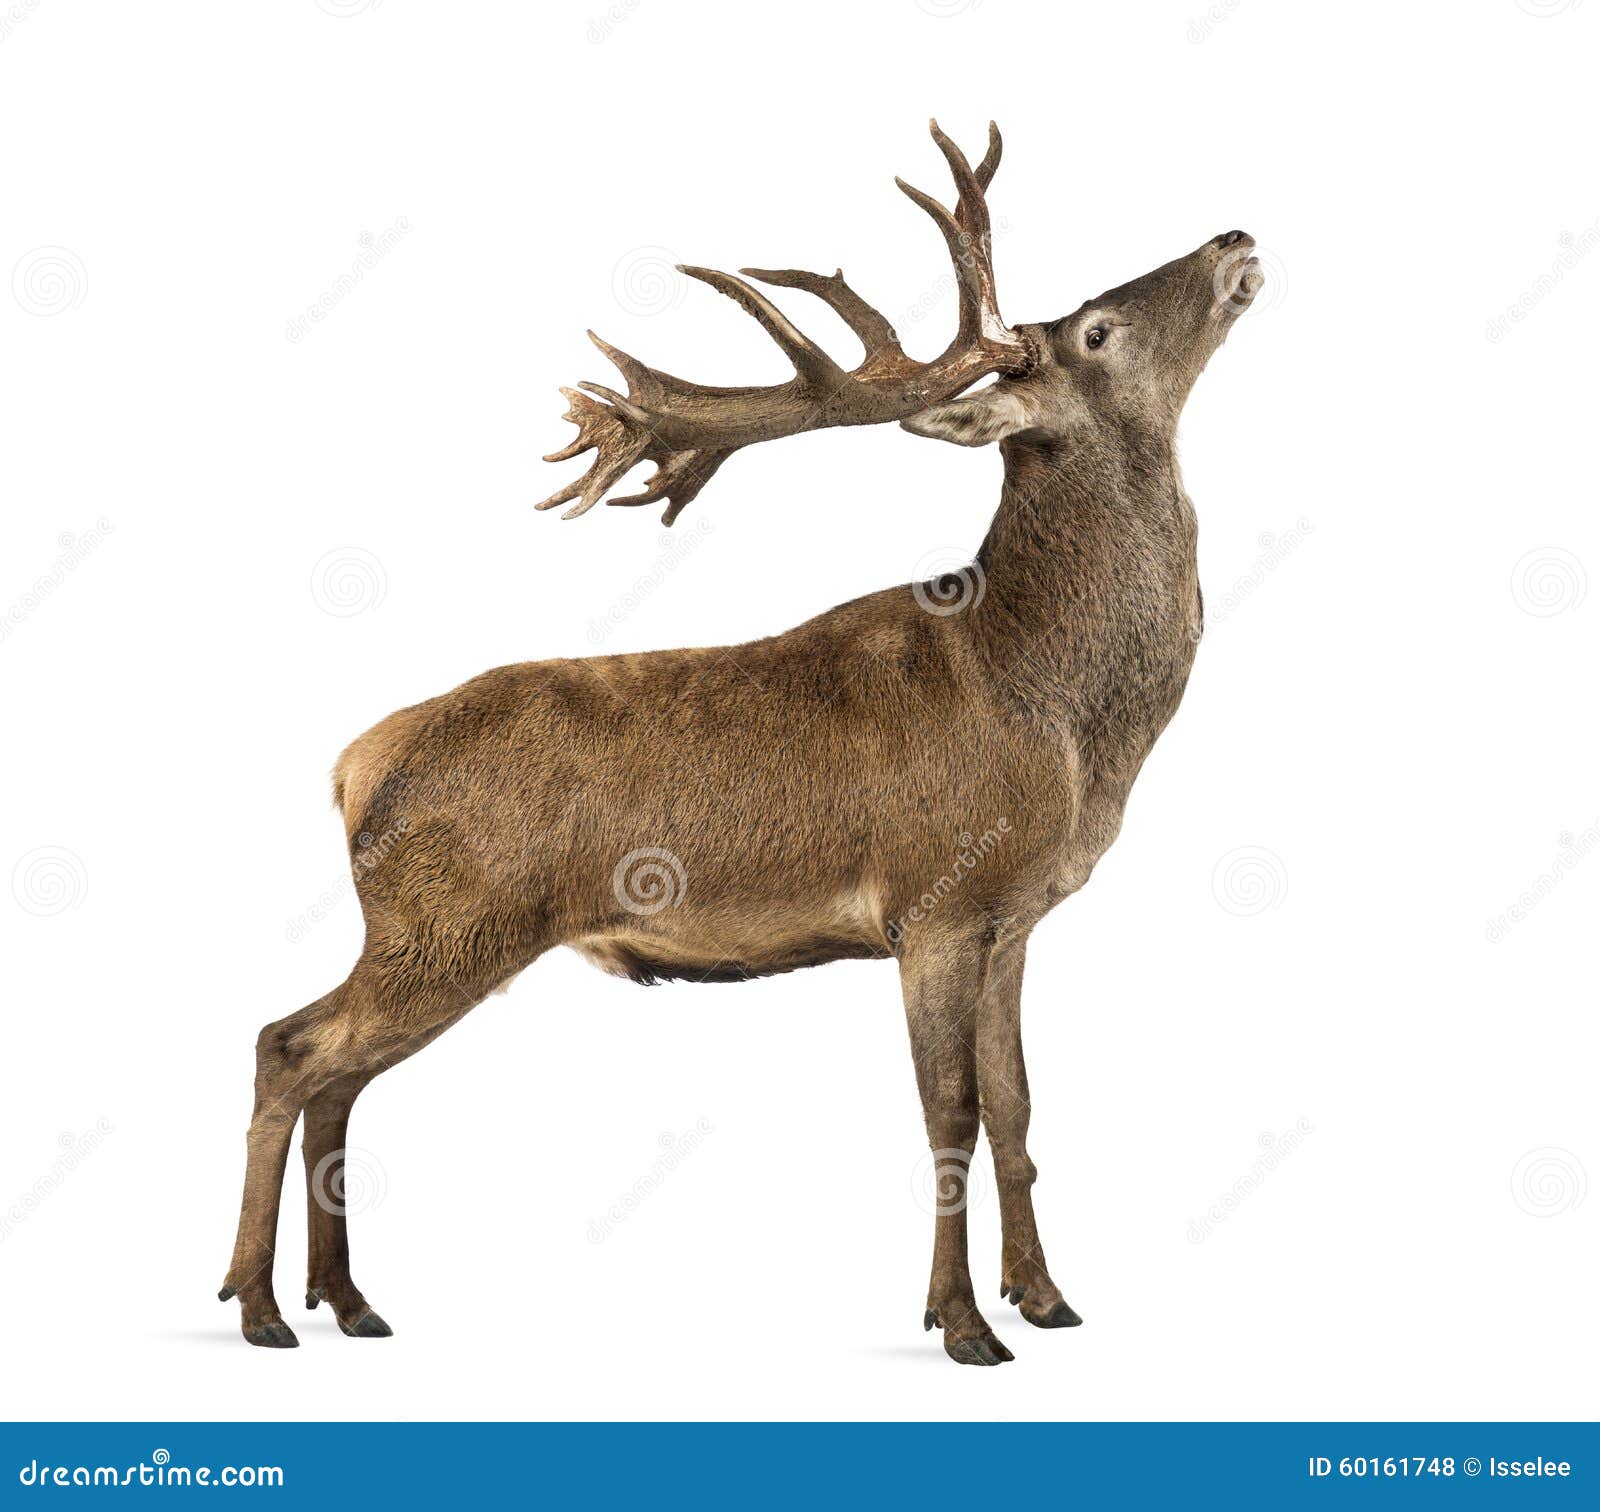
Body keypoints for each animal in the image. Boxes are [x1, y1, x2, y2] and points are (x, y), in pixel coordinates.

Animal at [221, 121, 1262, 1364]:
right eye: (1097, 329)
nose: (1233, 236)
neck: (1054, 707)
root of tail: (355, 763)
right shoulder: (933, 902)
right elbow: (948, 1114)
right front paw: (961, 1323)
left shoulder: (1014, 916)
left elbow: (1016, 1106)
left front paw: (1047, 1296)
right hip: (447, 918)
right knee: (289, 1044)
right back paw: (258, 1305)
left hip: (437, 931)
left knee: (337, 1074)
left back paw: (348, 1301)